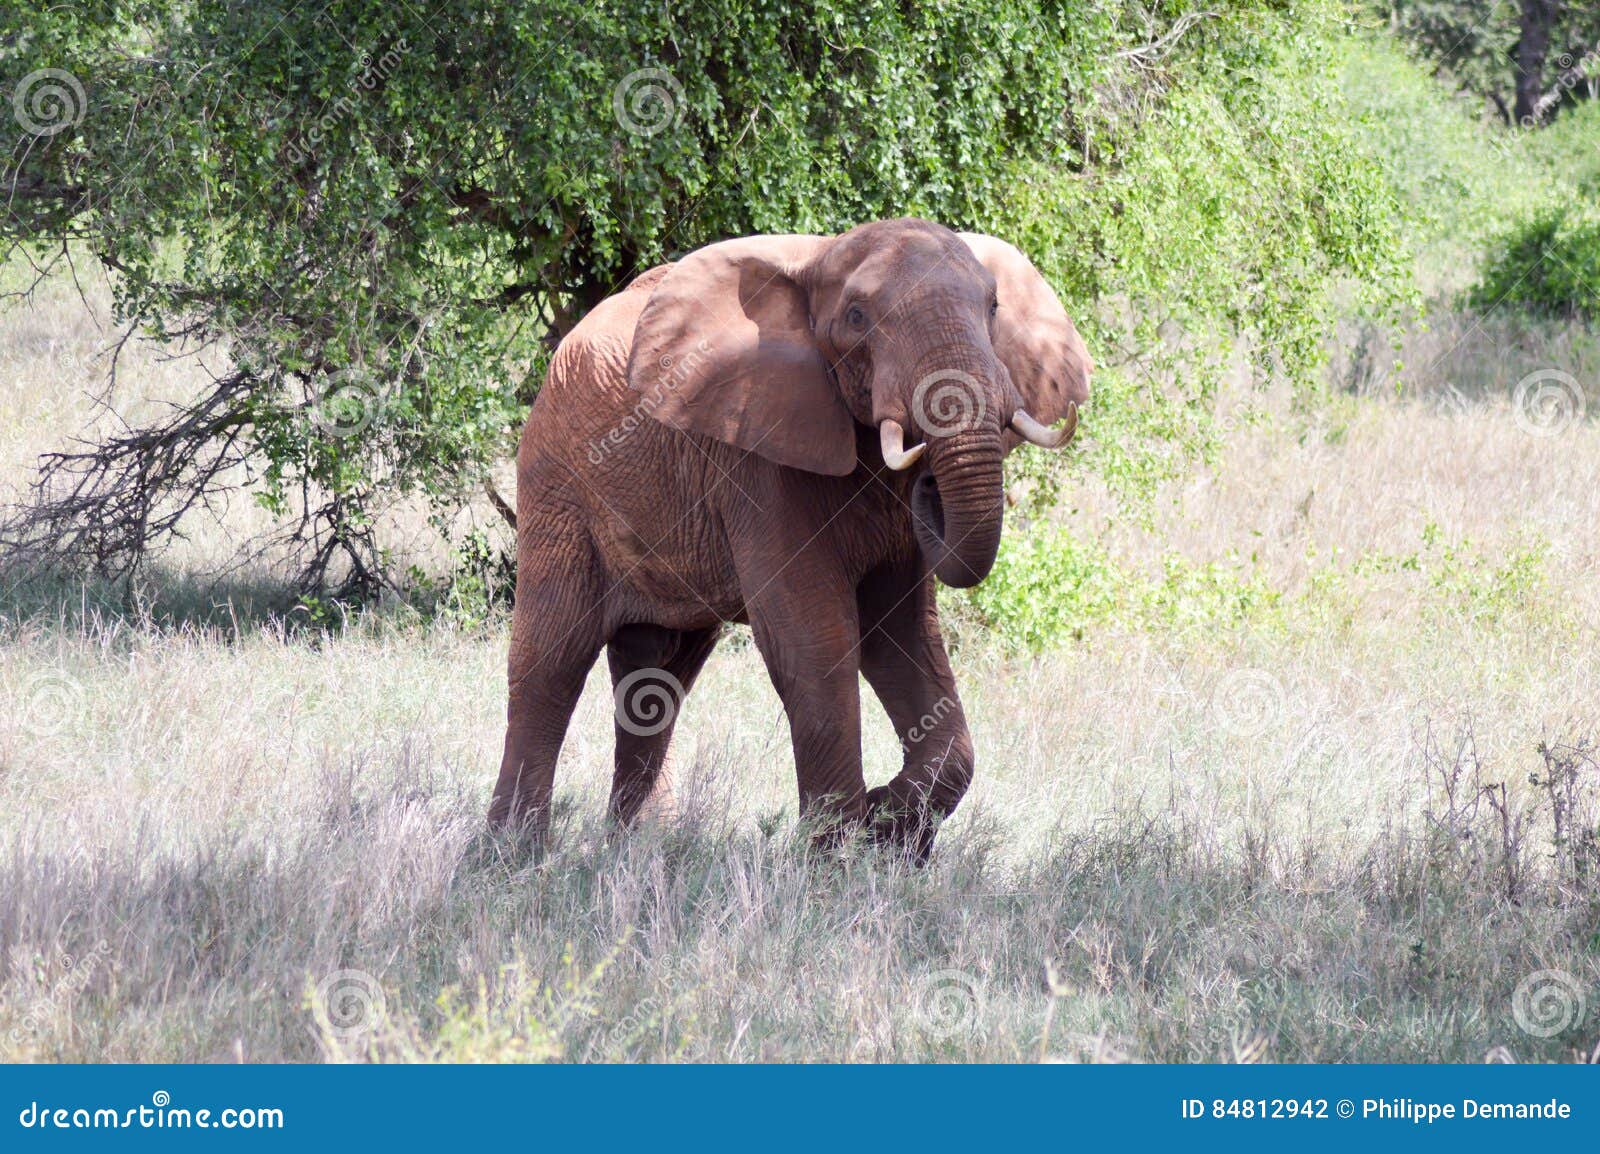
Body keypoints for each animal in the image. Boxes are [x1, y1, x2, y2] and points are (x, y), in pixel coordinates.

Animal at [490, 217, 1091, 860]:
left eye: (993, 306)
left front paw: (888, 832)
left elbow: (901, 633)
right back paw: (511, 855)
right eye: (856, 316)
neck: (822, 256)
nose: (927, 478)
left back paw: (641, 848)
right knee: (551, 661)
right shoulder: (758, 451)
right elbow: (814, 638)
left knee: (657, 678)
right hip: (558, 486)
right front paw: (837, 857)